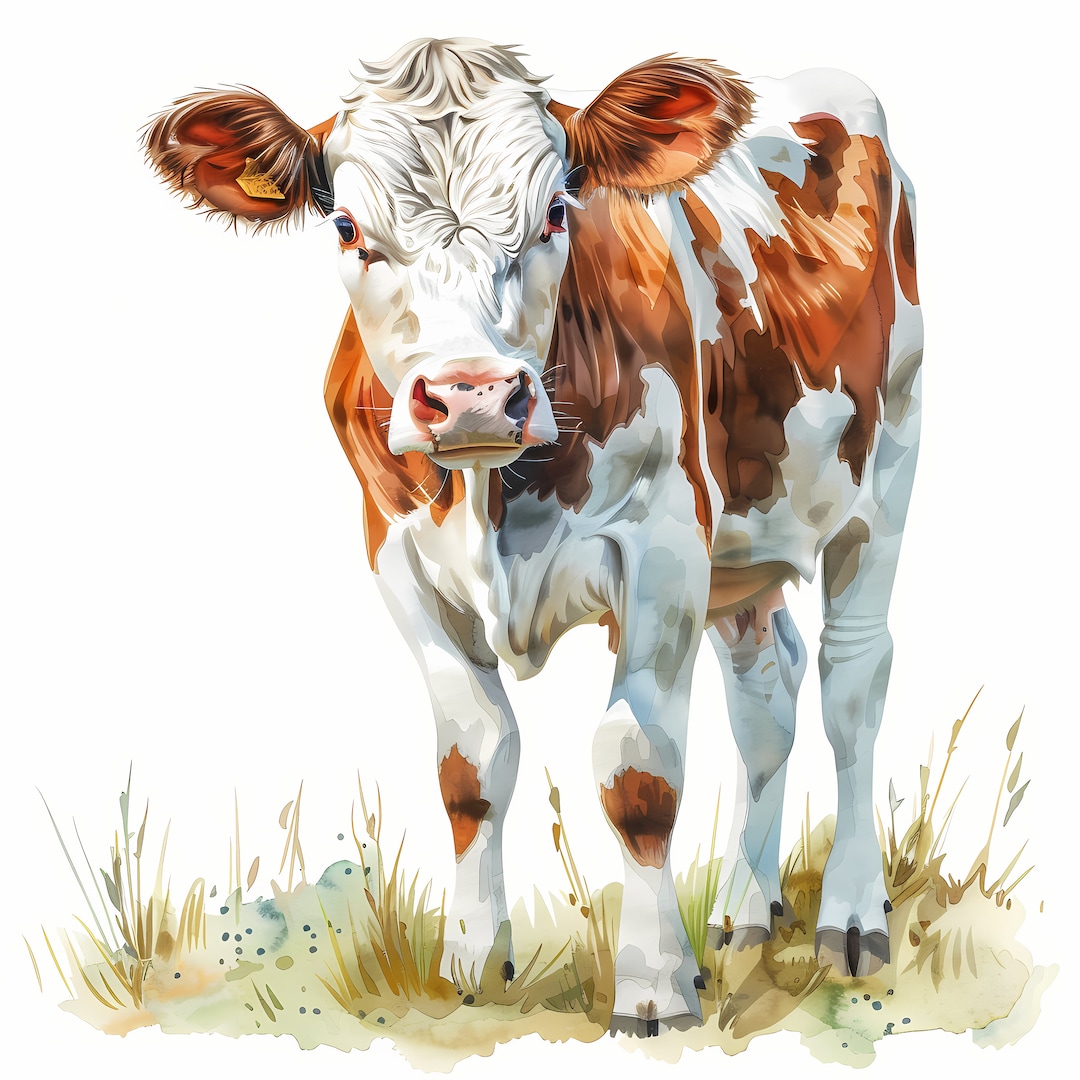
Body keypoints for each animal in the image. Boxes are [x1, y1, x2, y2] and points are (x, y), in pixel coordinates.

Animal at [144, 37, 921, 1034]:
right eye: (347, 227)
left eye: (557, 210)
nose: (473, 393)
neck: (491, 495)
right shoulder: (398, 558)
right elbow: (471, 766)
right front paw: (475, 961)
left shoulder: (664, 550)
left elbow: (639, 775)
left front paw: (653, 987)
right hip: (741, 553)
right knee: (766, 700)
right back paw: (748, 913)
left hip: (884, 471)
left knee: (850, 683)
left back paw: (852, 919)